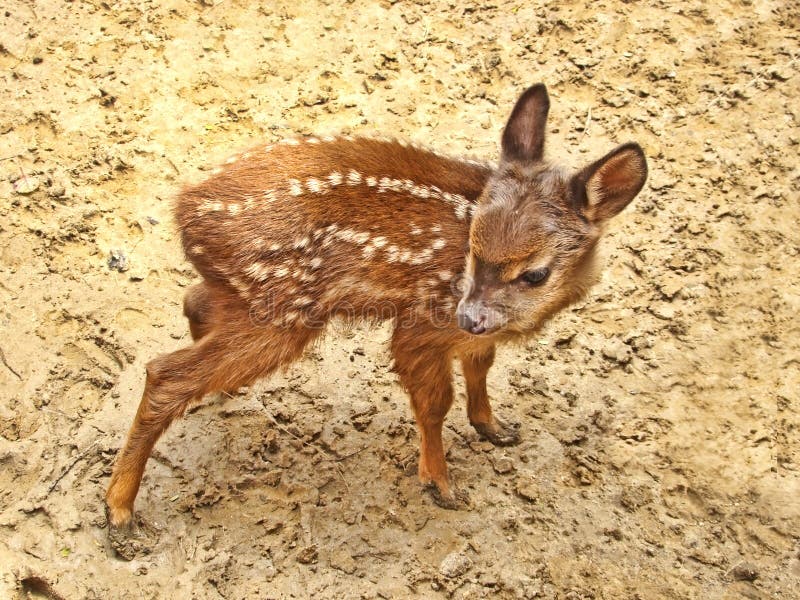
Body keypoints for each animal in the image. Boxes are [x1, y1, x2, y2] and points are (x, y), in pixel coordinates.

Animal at [105, 83, 648, 530]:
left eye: (535, 273)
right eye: (472, 247)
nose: (469, 315)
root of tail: (185, 209)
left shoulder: (474, 332)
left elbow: (481, 367)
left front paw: (494, 427)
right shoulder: (423, 321)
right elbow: (435, 403)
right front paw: (440, 484)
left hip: (252, 299)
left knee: (194, 302)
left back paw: (218, 397)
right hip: (283, 312)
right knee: (164, 372)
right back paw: (119, 511)